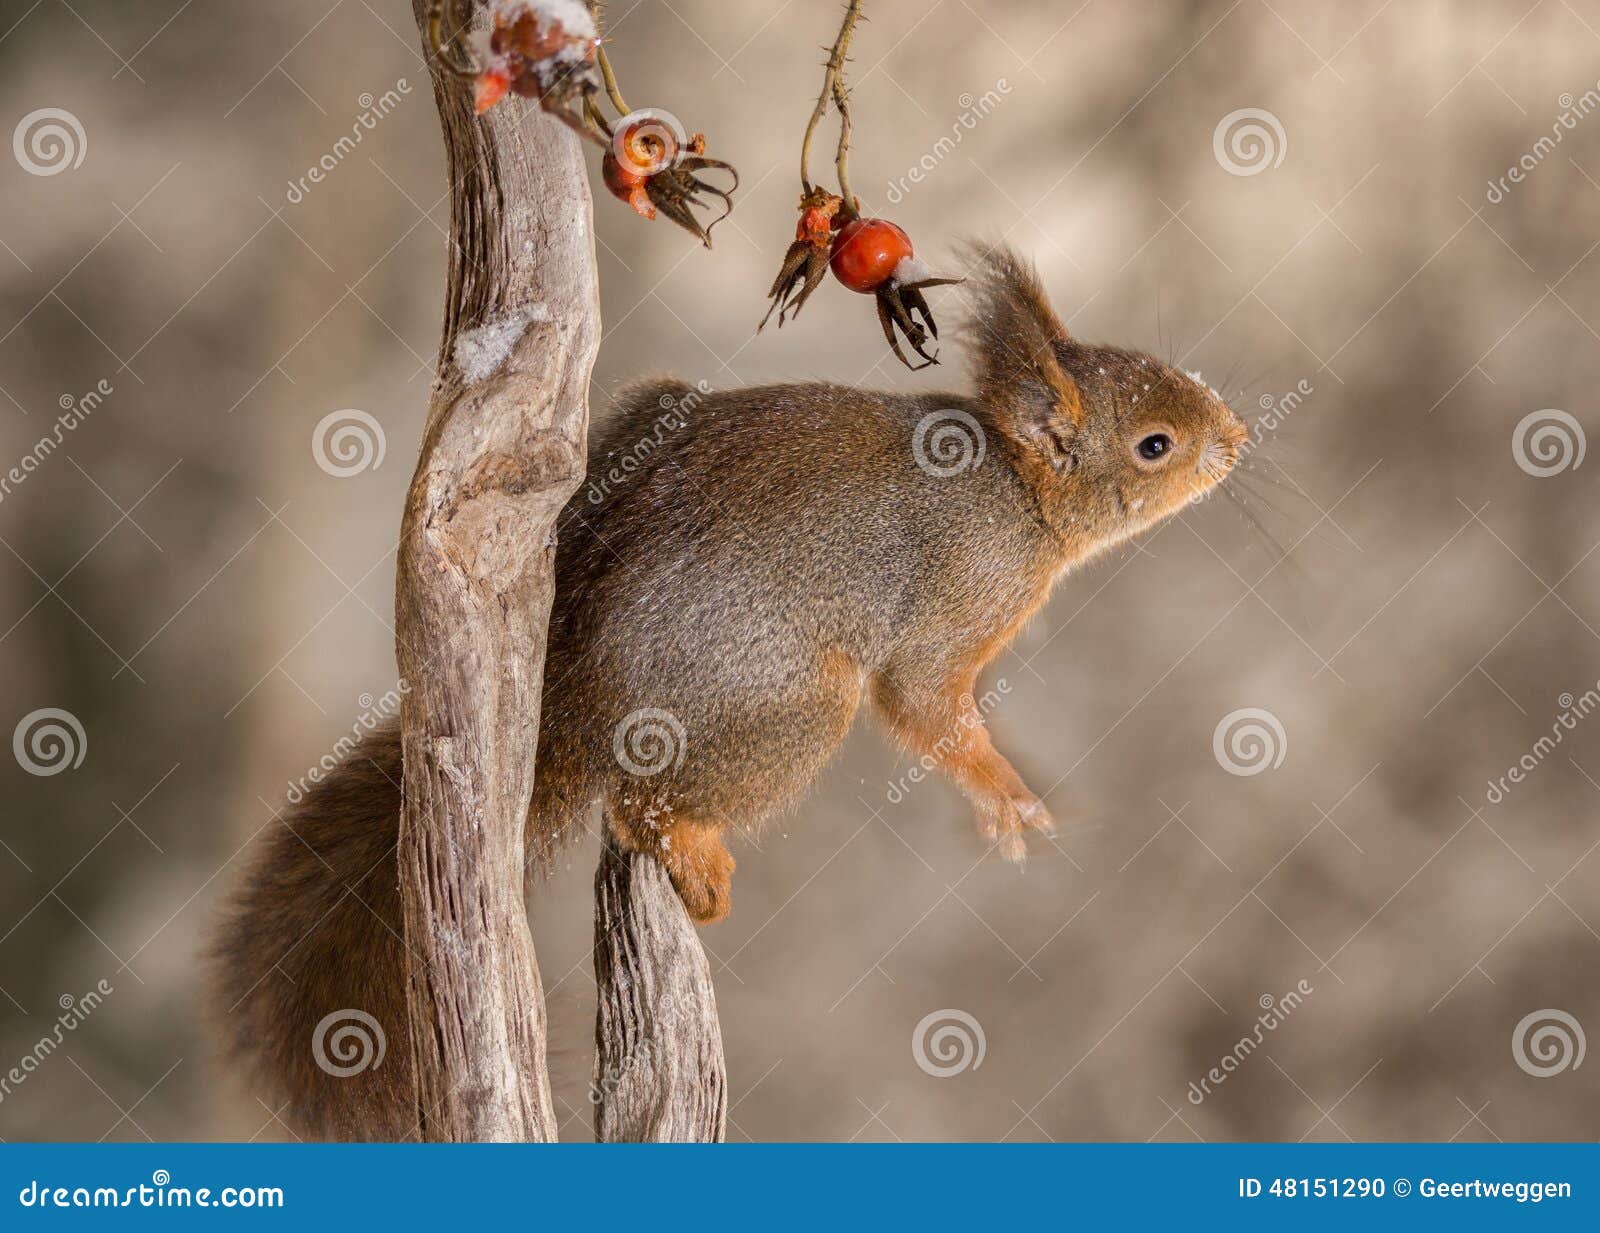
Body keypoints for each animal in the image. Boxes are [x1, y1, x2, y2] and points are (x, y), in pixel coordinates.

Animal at [210, 246, 1248, 1138]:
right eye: (1155, 444)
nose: (1236, 437)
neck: (1018, 496)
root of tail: (573, 697)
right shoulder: (955, 607)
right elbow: (925, 706)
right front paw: (1008, 797)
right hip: (790, 711)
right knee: (640, 810)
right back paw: (696, 859)